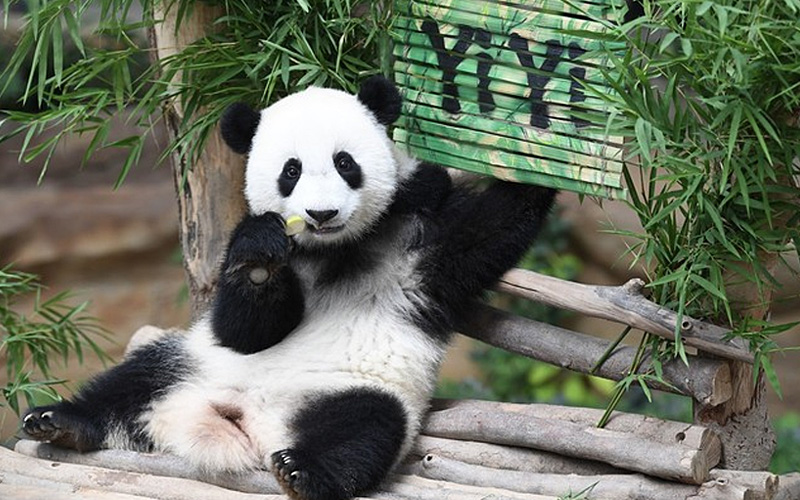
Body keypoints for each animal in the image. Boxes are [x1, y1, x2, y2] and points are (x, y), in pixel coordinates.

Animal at [21, 76, 556, 500]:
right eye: (291, 170)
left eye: (345, 163)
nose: (321, 213)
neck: (335, 250)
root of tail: (242, 422)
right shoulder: (251, 259)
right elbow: (243, 327)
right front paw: (261, 259)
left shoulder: (423, 246)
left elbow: (494, 224)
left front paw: (539, 143)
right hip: (194, 363)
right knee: (133, 383)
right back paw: (60, 423)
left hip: (350, 390)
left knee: (363, 428)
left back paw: (302, 471)